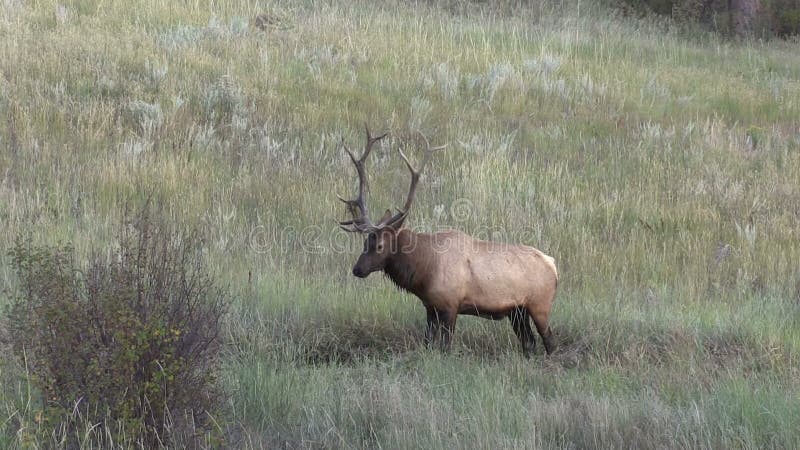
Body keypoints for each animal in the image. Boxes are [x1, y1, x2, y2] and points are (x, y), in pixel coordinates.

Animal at [337, 127, 558, 356]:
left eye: (379, 245)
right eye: (365, 243)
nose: (357, 269)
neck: (424, 272)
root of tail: (553, 264)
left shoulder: (451, 305)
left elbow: (445, 347)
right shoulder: (430, 307)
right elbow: (427, 342)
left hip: (540, 305)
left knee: (549, 341)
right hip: (517, 311)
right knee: (529, 342)